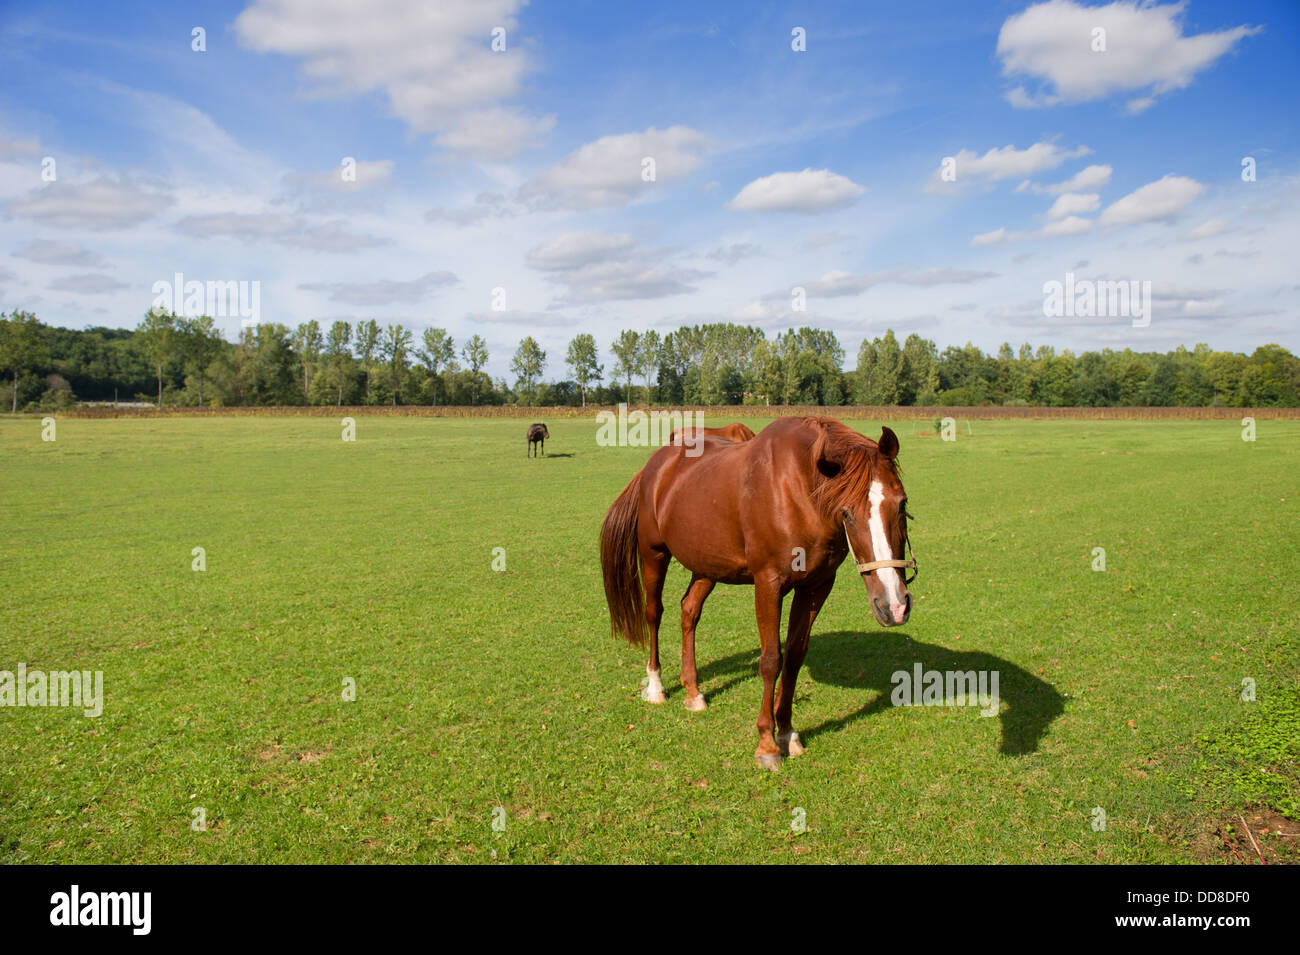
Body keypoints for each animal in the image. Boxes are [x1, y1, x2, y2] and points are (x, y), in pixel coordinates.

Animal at [599, 416, 916, 770]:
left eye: (901, 504)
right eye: (846, 512)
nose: (894, 605)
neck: (798, 492)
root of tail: (656, 464)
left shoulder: (816, 586)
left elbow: (793, 658)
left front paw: (787, 733)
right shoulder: (769, 584)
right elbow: (771, 660)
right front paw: (767, 743)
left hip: (708, 566)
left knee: (689, 611)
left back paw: (693, 691)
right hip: (654, 553)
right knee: (654, 613)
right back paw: (656, 686)